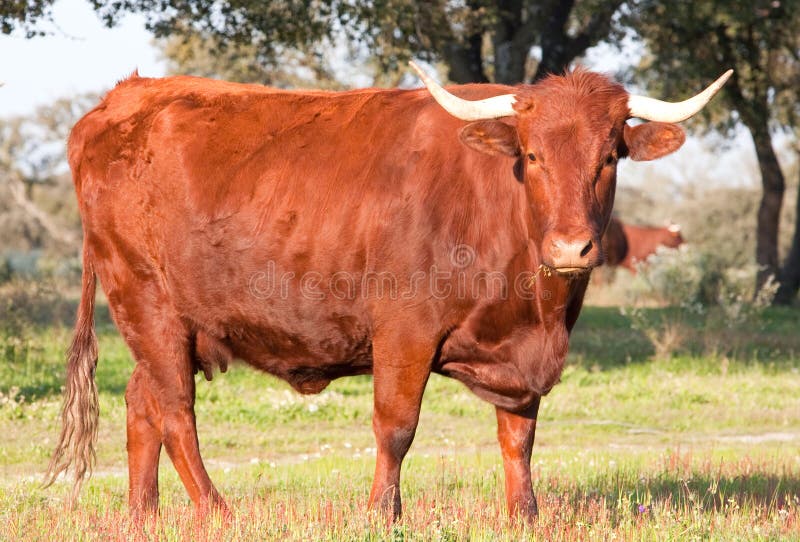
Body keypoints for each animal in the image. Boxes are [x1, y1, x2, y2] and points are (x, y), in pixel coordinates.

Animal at [44, 61, 730, 522]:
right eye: (532, 156)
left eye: (609, 157)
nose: (570, 249)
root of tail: (127, 94)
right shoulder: (404, 331)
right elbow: (396, 426)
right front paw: (382, 514)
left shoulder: (521, 353)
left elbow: (519, 435)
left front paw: (525, 515)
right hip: (147, 301)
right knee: (175, 411)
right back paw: (218, 513)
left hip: (163, 322)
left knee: (143, 403)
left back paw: (144, 515)